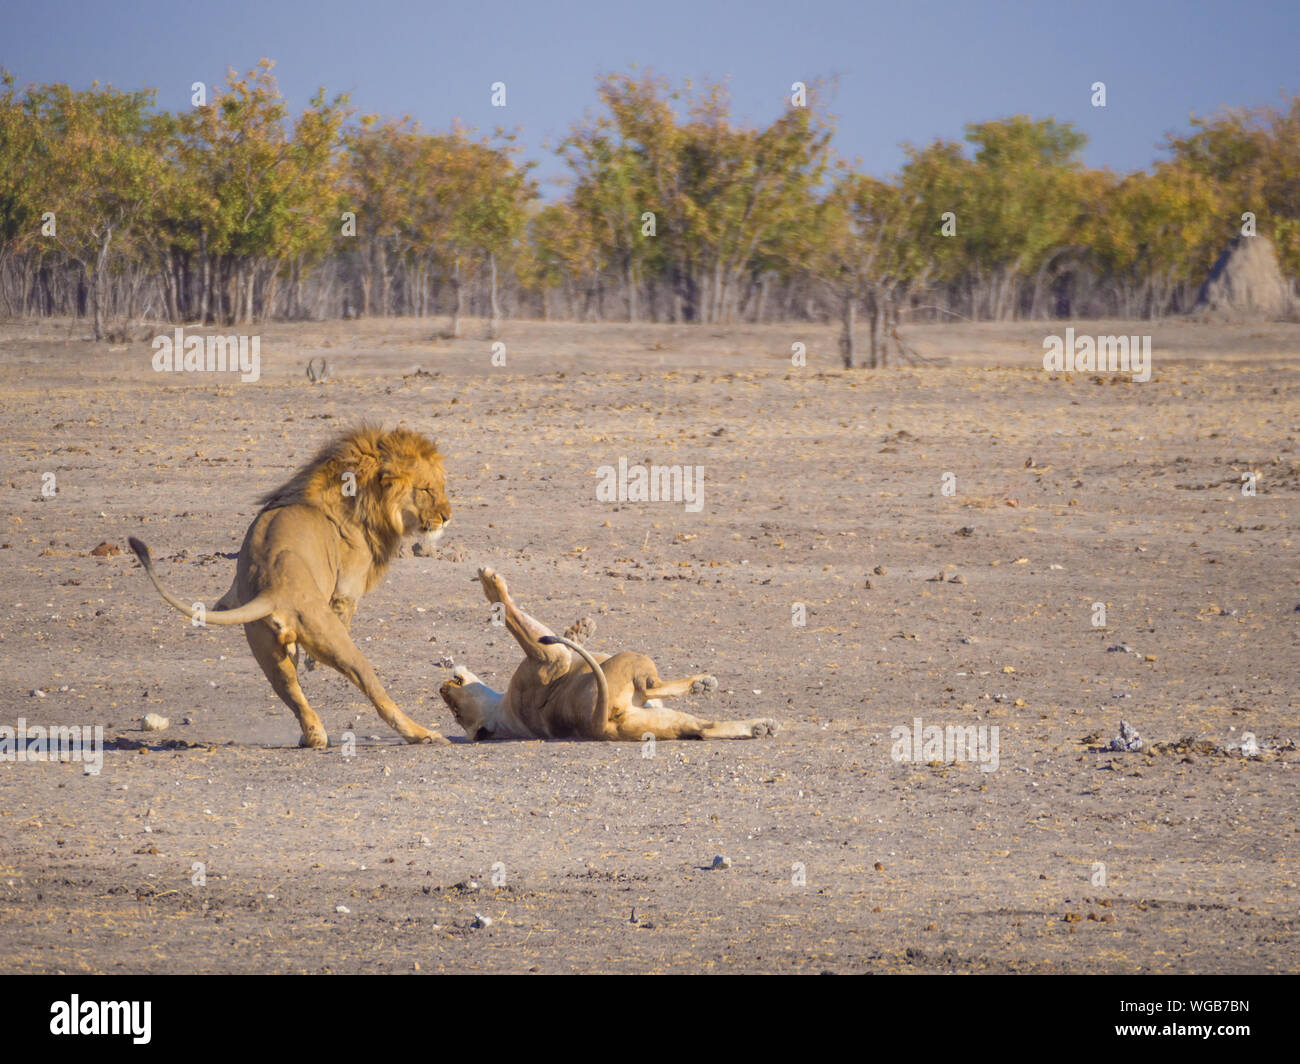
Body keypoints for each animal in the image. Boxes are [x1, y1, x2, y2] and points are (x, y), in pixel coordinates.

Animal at [128, 425, 451, 748]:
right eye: (426, 490)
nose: (447, 517)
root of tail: (274, 589)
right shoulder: (348, 584)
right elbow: (345, 608)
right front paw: (313, 664)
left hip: (265, 647)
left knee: (292, 693)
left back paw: (313, 736)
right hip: (332, 638)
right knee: (377, 694)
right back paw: (424, 734)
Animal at [438, 567, 780, 742]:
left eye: (453, 711)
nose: (442, 688)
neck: (501, 711)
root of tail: (597, 725)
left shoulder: (555, 657)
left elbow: (549, 632)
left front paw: (580, 628)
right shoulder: (550, 660)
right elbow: (514, 618)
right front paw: (490, 583)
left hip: (663, 721)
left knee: (704, 730)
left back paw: (760, 726)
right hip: (631, 658)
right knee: (651, 687)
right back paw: (703, 683)